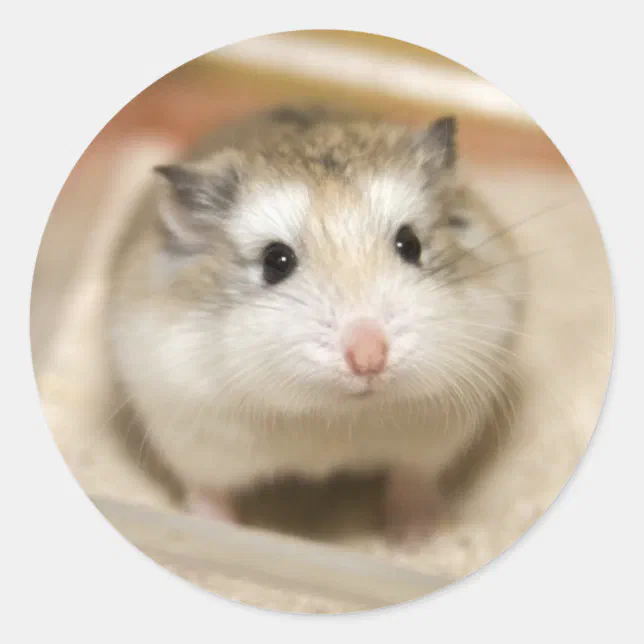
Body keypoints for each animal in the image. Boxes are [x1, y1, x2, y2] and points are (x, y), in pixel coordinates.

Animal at [106, 105, 525, 540]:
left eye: (410, 244)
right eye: (275, 261)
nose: (369, 359)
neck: (334, 413)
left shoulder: (431, 442)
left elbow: (413, 477)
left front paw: (417, 538)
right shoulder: (191, 427)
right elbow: (208, 490)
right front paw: (217, 530)